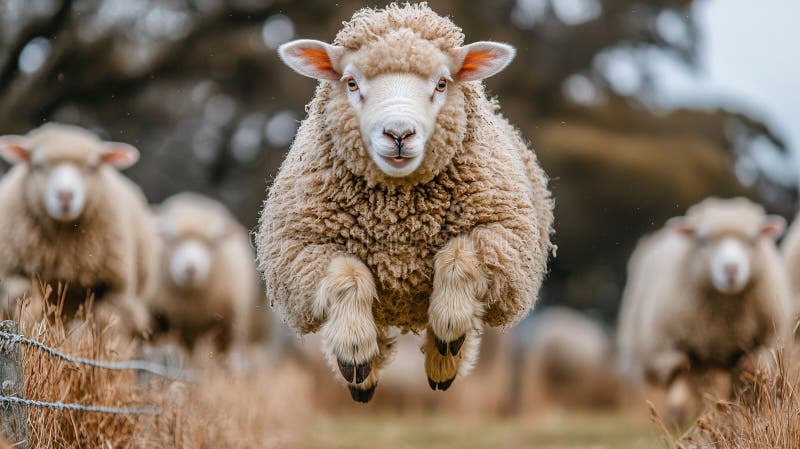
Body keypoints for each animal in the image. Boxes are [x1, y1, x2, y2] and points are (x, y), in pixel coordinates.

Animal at [0, 123, 157, 337]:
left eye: (91, 167)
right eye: (38, 165)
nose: (65, 195)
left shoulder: (115, 291)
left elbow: (106, 326)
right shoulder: (14, 277)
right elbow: (28, 308)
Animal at [257, 3, 554, 402]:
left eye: (442, 83)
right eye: (351, 82)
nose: (399, 134)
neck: (398, 222)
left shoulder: (504, 239)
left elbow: (459, 258)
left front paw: (448, 324)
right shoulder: (299, 252)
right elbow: (347, 277)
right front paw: (355, 351)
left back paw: (443, 363)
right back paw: (362, 377)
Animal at [616, 197, 793, 423]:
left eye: (752, 240)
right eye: (703, 240)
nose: (731, 270)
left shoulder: (764, 344)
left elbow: (750, 372)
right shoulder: (665, 349)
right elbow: (679, 370)